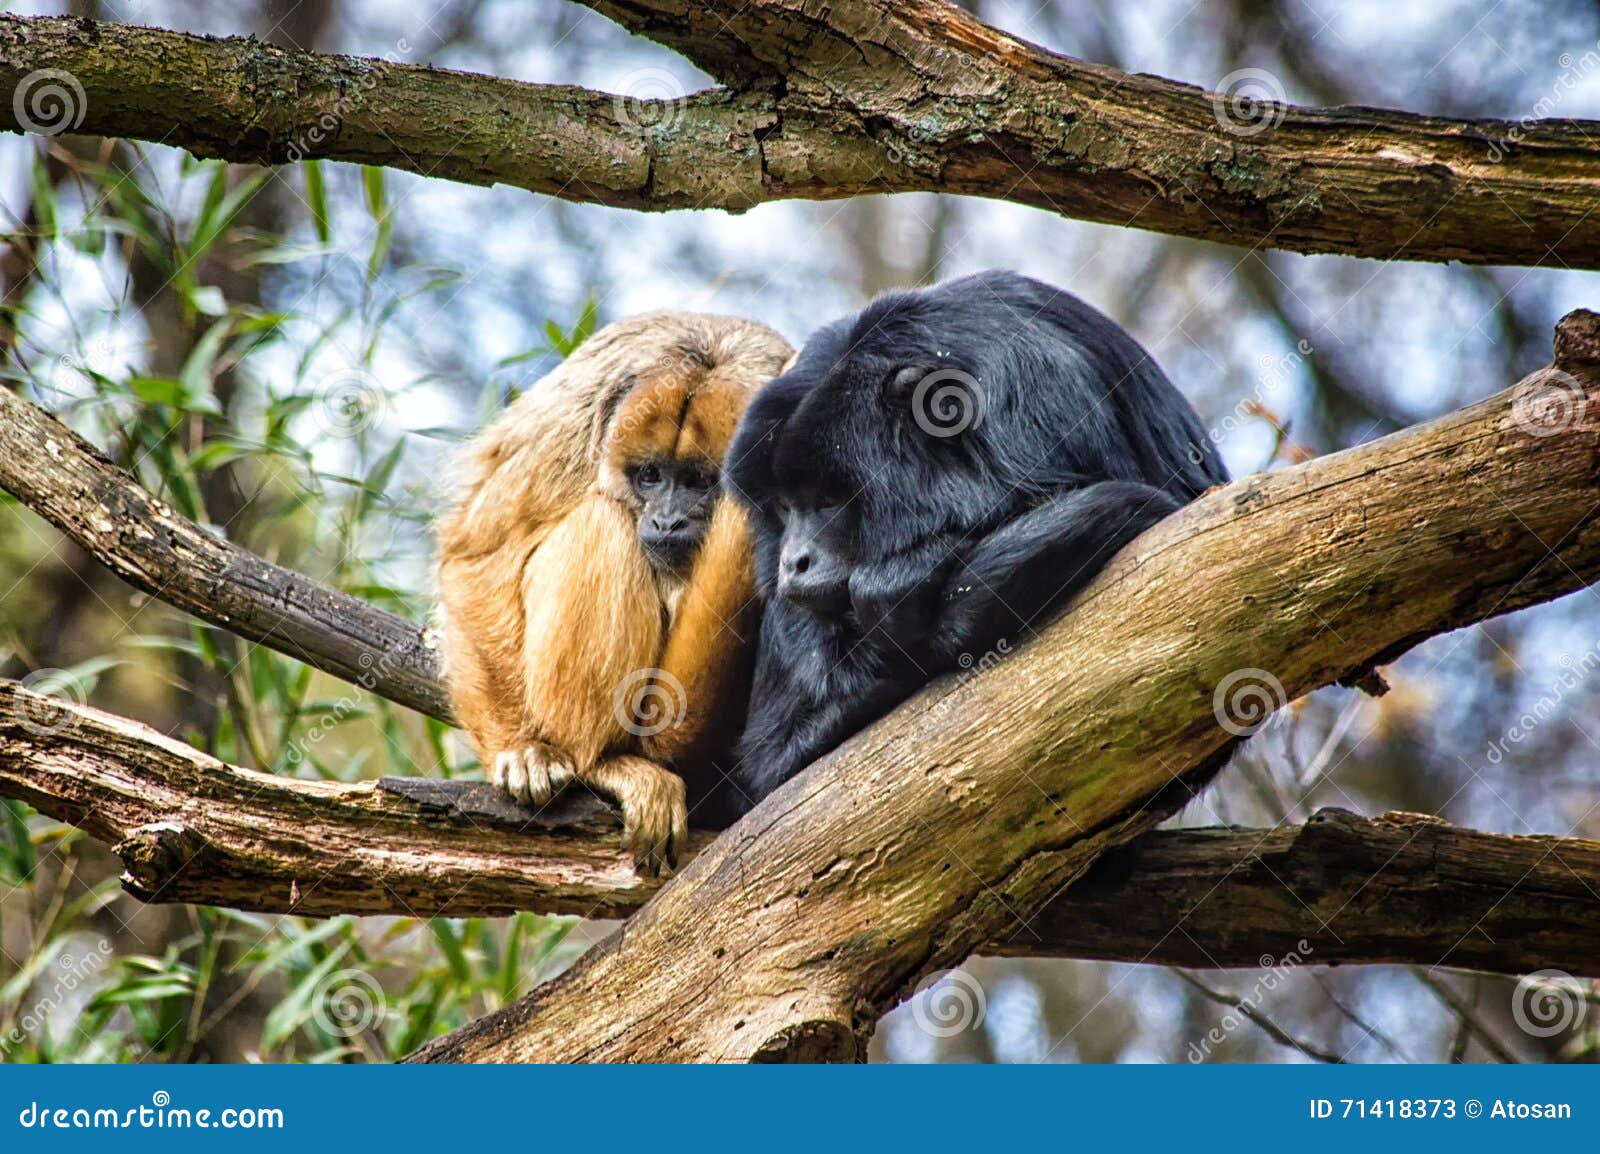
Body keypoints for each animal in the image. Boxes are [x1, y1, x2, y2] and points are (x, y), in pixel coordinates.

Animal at [435, 312, 794, 870]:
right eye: (650, 476)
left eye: (698, 481)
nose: (665, 521)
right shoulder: (574, 421)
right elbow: (481, 554)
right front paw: (521, 751)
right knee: (602, 522)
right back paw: (601, 762)